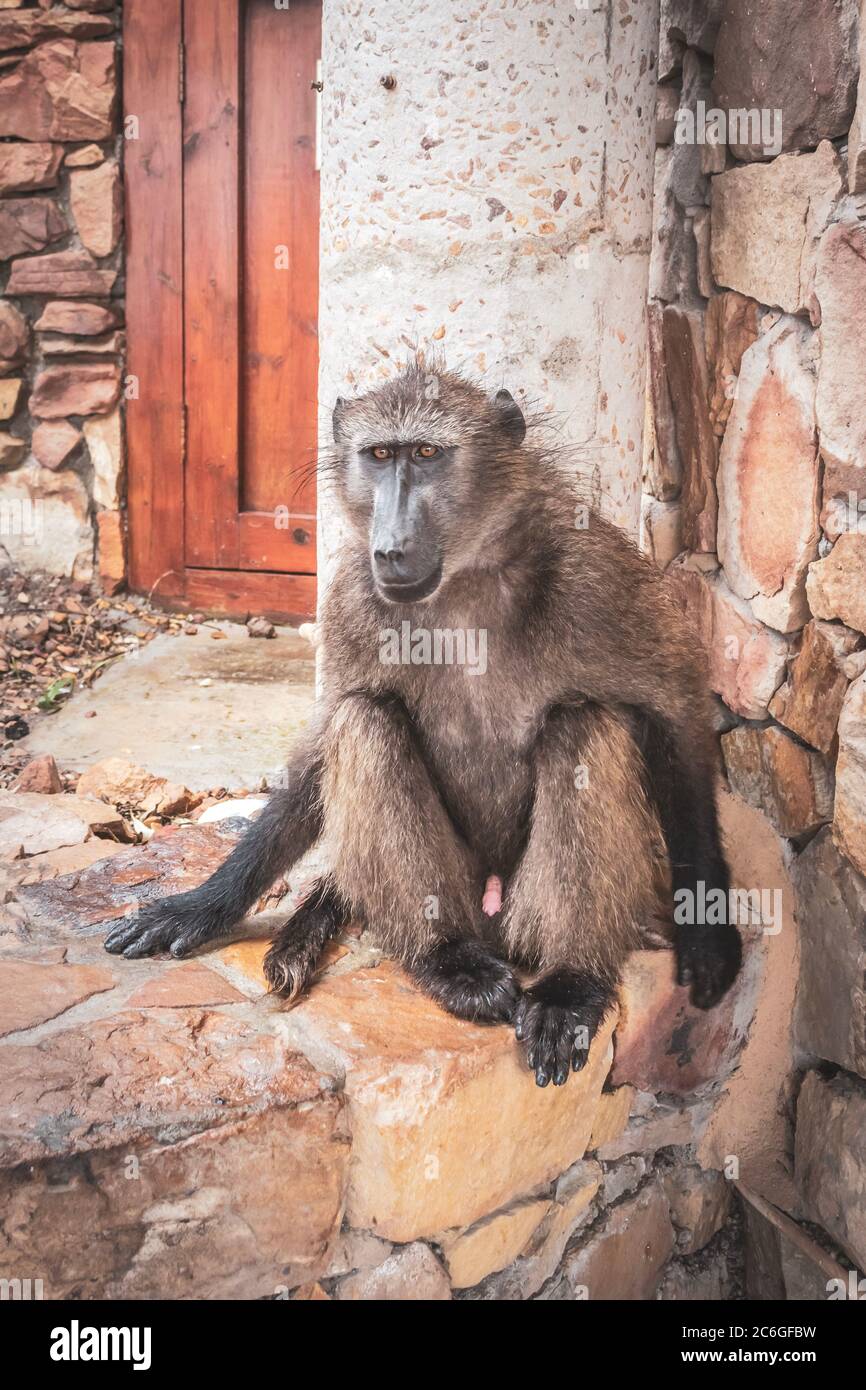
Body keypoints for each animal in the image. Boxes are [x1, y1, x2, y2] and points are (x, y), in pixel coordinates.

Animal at [105, 362, 741, 1088]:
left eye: (429, 454)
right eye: (380, 455)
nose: (391, 546)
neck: (463, 583)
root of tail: (492, 924)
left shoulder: (595, 576)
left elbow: (673, 709)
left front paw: (706, 925)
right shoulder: (352, 598)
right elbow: (322, 751)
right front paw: (205, 903)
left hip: (527, 905)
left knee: (581, 725)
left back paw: (568, 986)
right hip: (457, 891)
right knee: (365, 720)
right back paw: (449, 961)